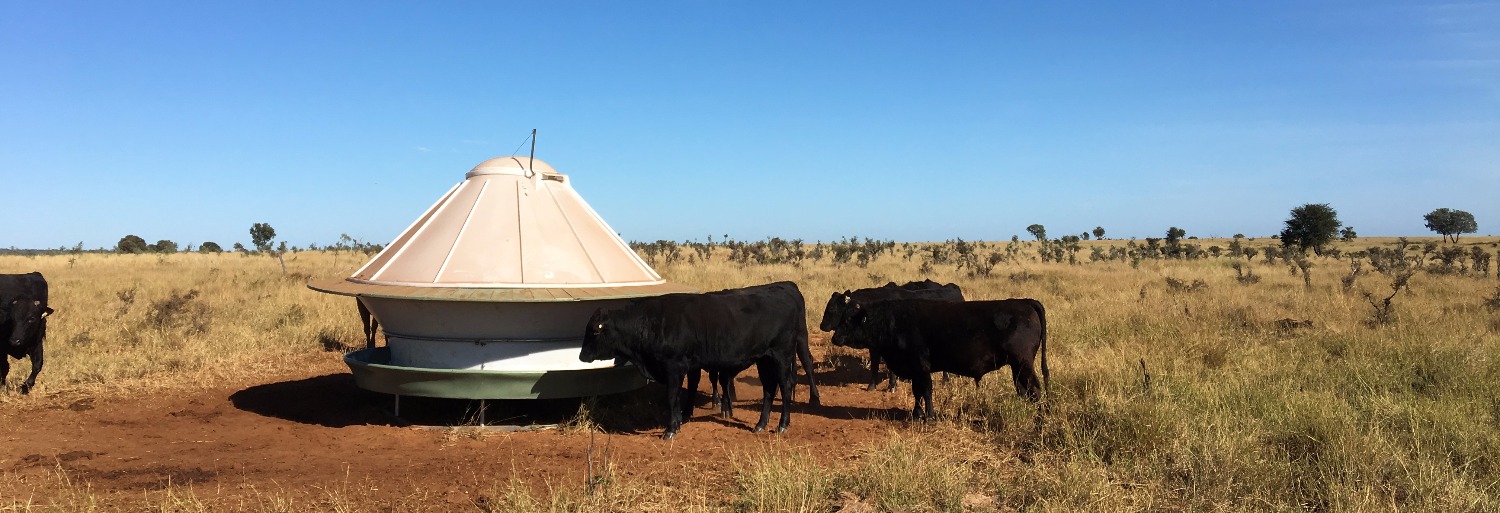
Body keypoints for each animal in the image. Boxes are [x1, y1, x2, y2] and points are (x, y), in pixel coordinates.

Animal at [579, 281, 816, 439]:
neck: (651, 323)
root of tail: (784, 289)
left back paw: (782, 425)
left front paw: (671, 429)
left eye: (594, 331)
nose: (582, 356)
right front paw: (679, 421)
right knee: (768, 389)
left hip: (782, 355)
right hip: (764, 359)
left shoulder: (674, 368)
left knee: (785, 385)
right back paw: (760, 424)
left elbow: (672, 397)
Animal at [821, 280, 963, 391]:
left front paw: (892, 386)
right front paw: (872, 386)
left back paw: (945, 380)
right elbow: (874, 365)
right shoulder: (874, 348)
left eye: (832, 308)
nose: (822, 326)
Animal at [831, 298, 1049, 420]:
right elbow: (917, 392)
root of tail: (1025, 301)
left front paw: (929, 416)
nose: (835, 338)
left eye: (848, 319)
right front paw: (916, 414)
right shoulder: (914, 369)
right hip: (1017, 366)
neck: (893, 320)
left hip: (1023, 363)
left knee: (1035, 390)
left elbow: (926, 390)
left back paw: (1040, 418)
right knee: (1024, 390)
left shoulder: (921, 366)